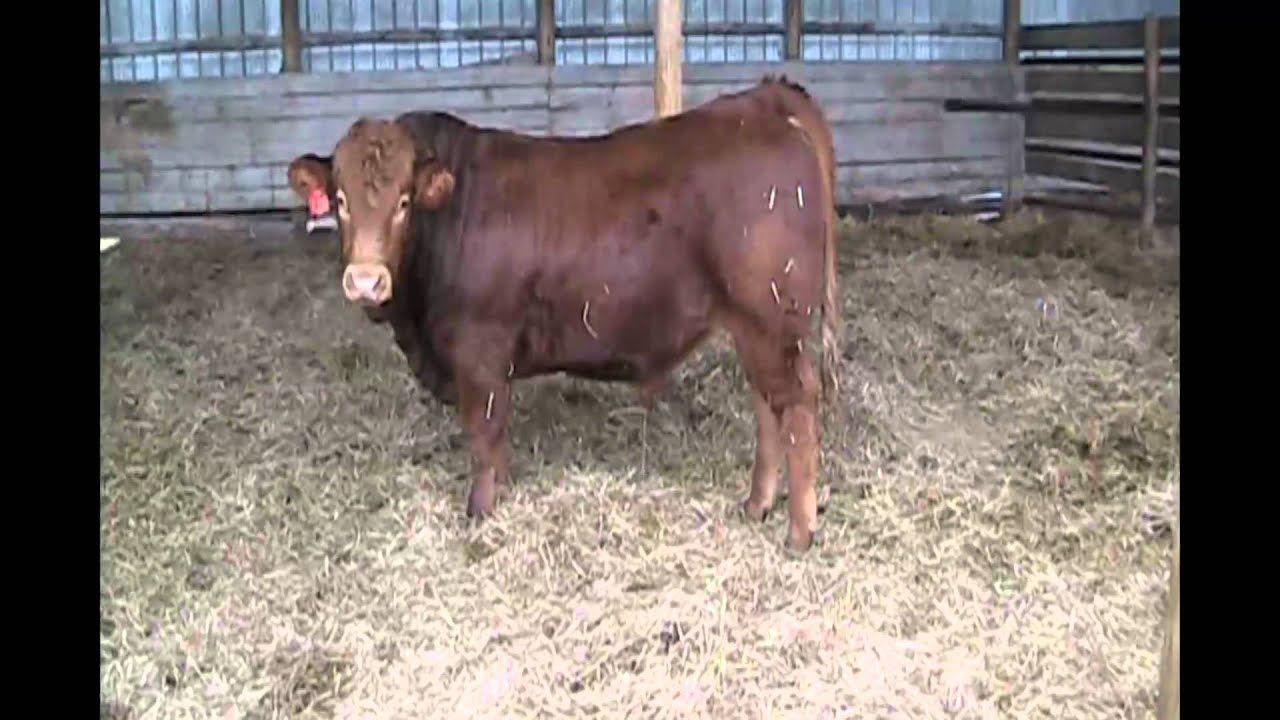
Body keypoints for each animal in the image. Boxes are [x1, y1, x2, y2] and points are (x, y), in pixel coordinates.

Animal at [287, 76, 842, 552]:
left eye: (404, 202)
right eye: (339, 199)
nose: (365, 280)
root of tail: (763, 100)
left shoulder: (480, 353)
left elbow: (484, 434)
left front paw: (481, 511)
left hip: (771, 319)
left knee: (797, 405)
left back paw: (799, 531)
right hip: (755, 326)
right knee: (768, 406)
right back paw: (756, 505)